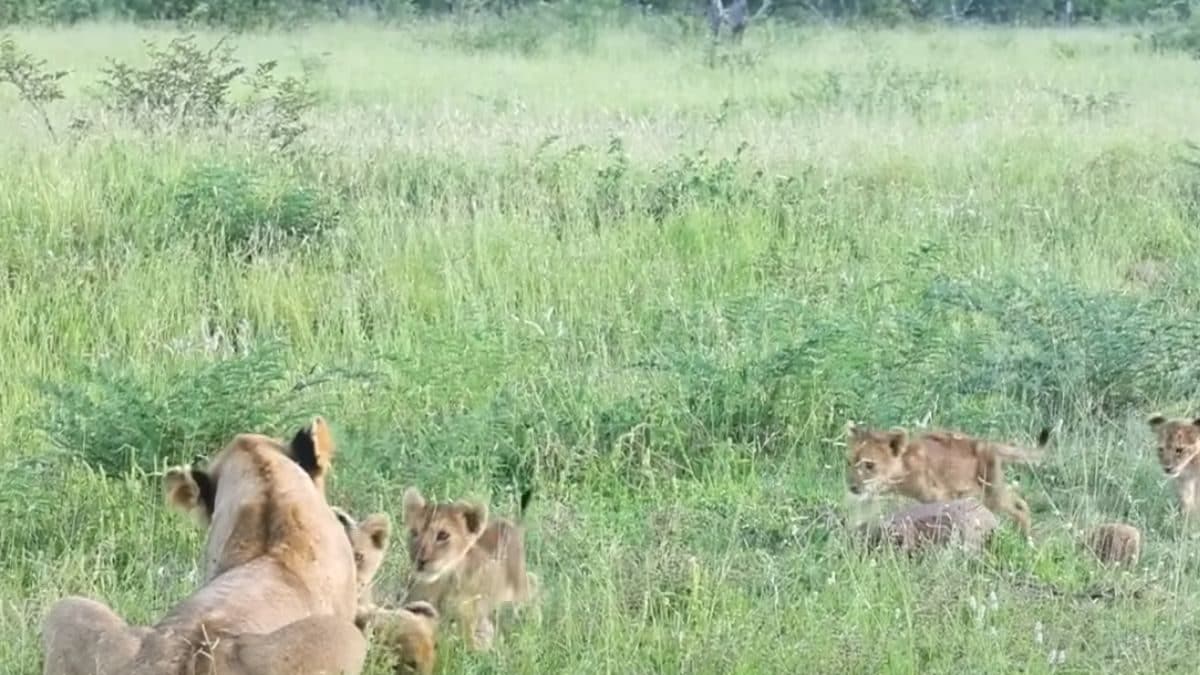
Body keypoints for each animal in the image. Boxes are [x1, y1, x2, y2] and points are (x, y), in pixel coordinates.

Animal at [400, 486, 535, 651]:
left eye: (443, 535)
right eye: (414, 533)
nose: (420, 560)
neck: (442, 584)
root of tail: (509, 524)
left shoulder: (470, 619)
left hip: (521, 589)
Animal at [845, 422, 1052, 537]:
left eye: (869, 465)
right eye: (850, 462)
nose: (852, 487)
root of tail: (989, 443)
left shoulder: (942, 496)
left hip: (991, 492)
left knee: (1020, 506)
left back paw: (1026, 540)